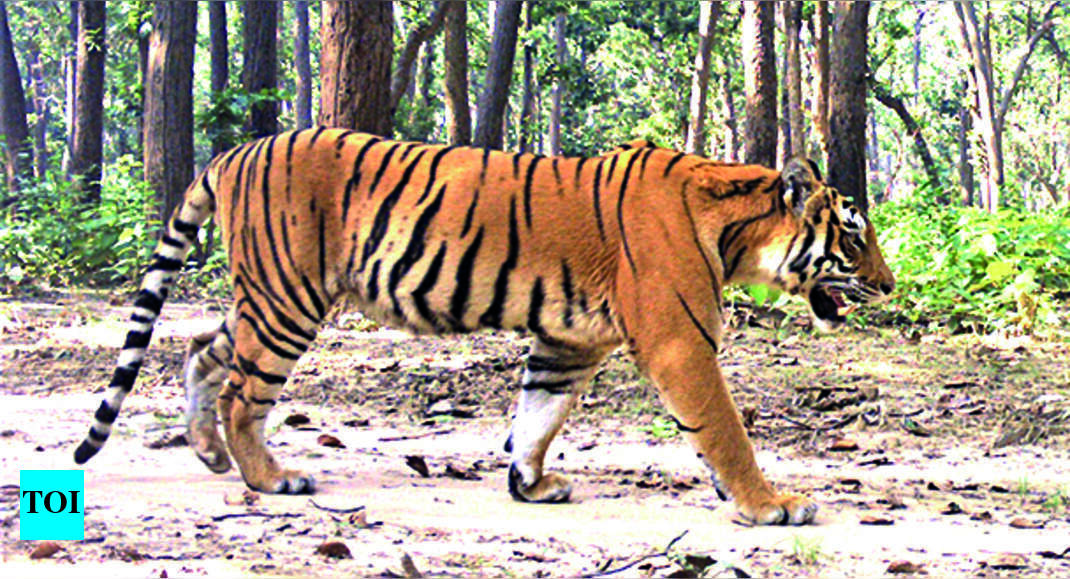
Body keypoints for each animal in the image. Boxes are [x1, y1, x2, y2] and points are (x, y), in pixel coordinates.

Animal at [74, 128, 894, 526]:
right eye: (854, 238)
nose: (890, 285)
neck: (735, 228)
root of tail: (232, 152)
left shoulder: (568, 341)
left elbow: (538, 413)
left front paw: (529, 484)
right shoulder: (679, 340)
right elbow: (724, 430)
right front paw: (770, 504)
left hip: (264, 297)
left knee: (200, 351)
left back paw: (209, 452)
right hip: (288, 298)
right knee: (244, 389)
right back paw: (271, 477)